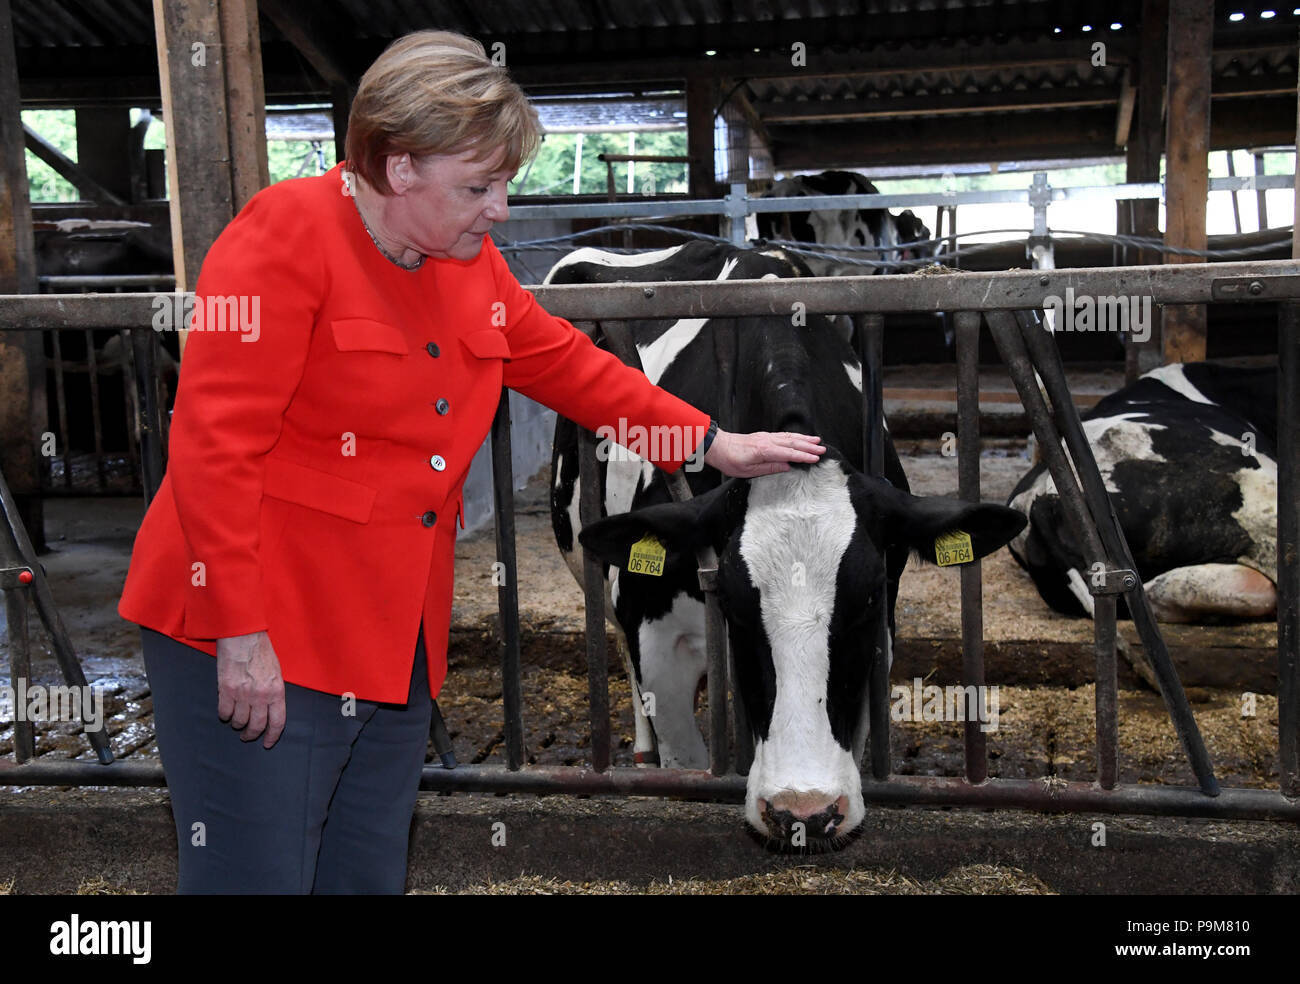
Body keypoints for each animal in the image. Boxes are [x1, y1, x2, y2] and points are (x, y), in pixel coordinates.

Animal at [546, 240, 1026, 847]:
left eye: (868, 599)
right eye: (732, 604)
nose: (803, 810)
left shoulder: (877, 639)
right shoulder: (653, 627)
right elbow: (683, 747)